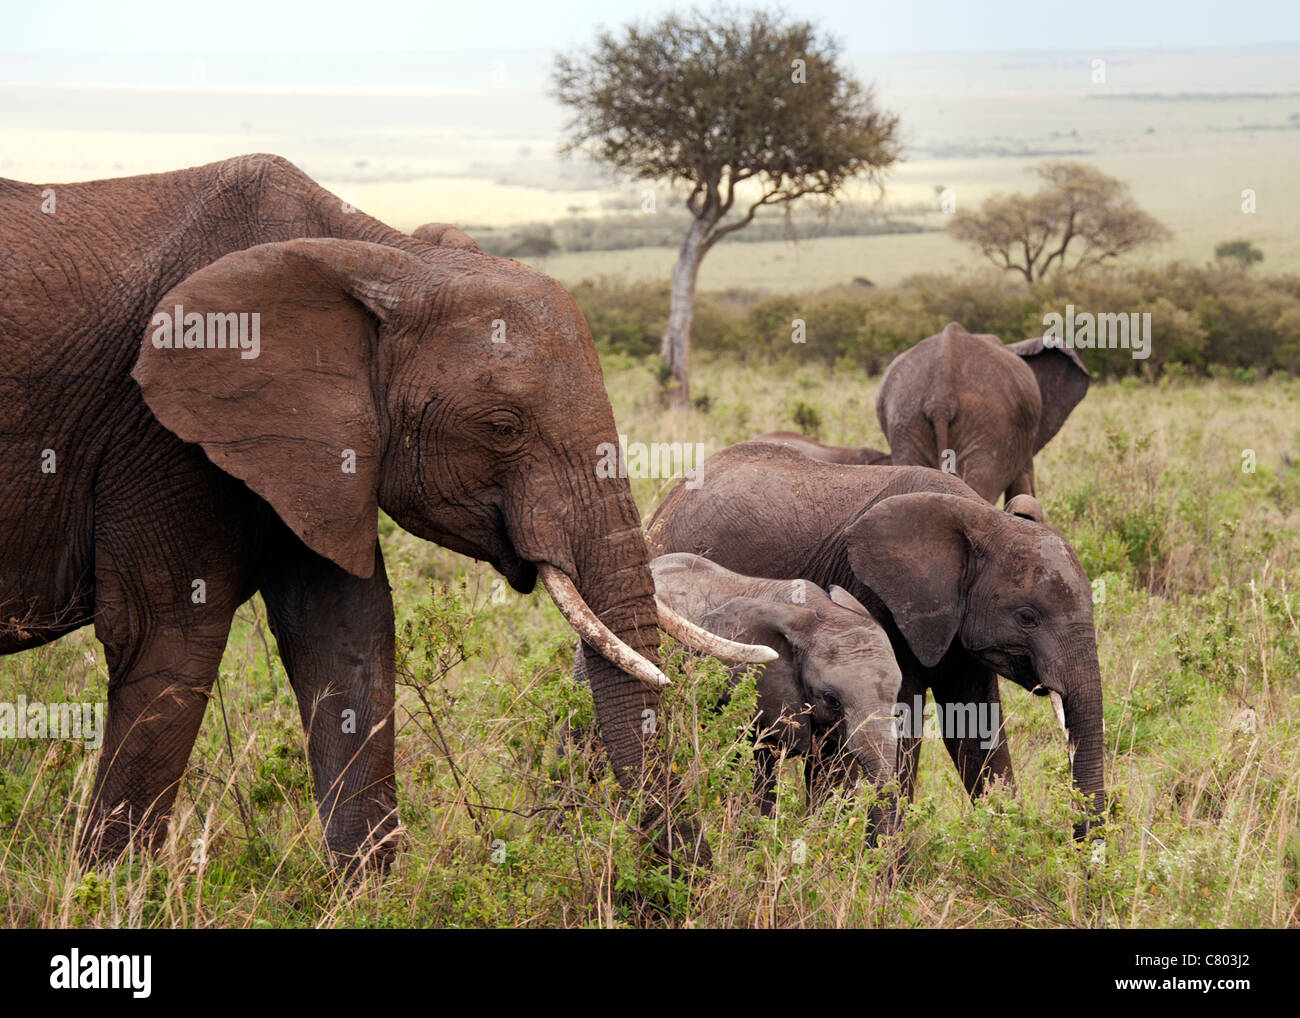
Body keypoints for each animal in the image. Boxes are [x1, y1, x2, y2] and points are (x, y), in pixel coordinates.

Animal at [0, 153, 769, 871]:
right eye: (503, 427)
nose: (681, 885)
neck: (387, 257)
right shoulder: (162, 433)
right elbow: (166, 636)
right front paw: (106, 887)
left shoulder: (307, 447)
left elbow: (347, 634)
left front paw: (366, 894)